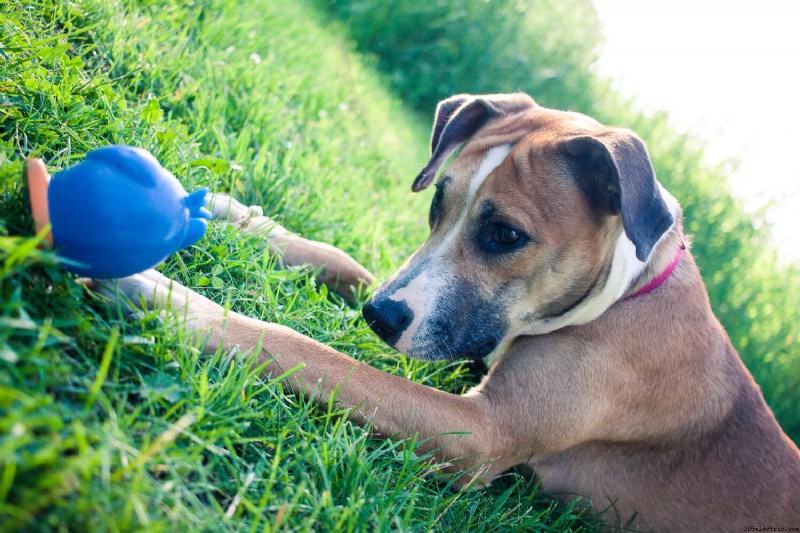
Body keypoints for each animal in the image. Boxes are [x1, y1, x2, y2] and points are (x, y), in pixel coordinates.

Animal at [98, 93, 800, 528]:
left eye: (506, 235)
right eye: (438, 201)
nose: (380, 318)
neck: (622, 296)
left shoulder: (482, 432)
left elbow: (306, 351)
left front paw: (170, 299)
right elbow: (340, 261)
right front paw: (231, 214)